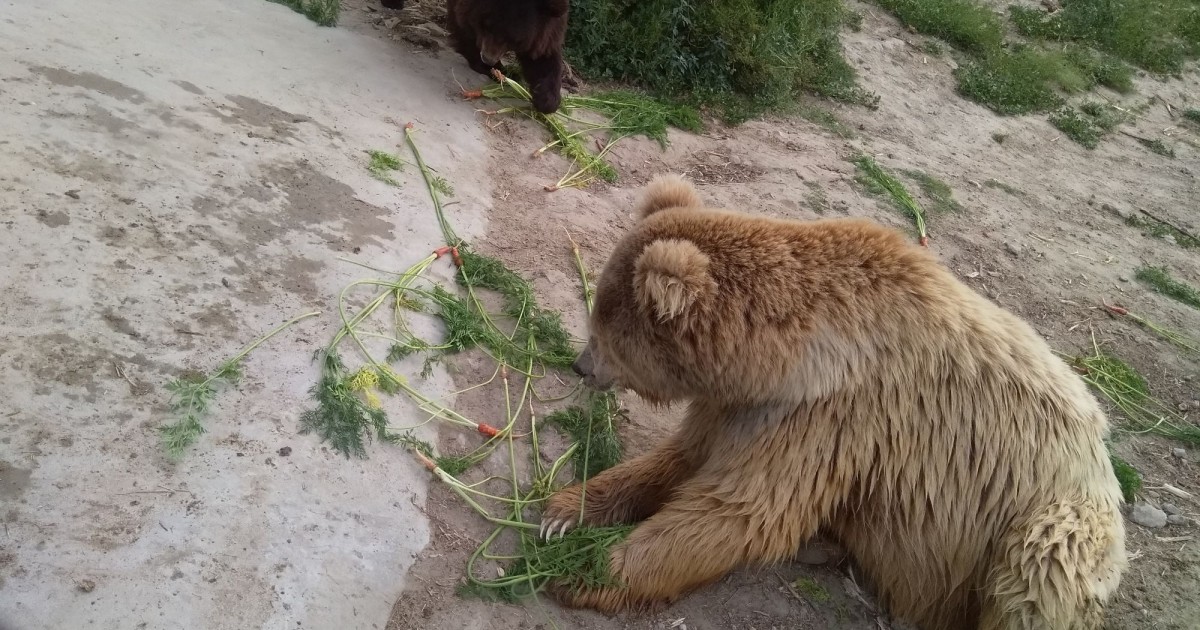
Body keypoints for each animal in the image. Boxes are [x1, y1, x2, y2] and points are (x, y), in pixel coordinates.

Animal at [539, 174, 1128, 630]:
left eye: (604, 335)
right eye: (595, 320)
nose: (580, 365)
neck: (779, 357)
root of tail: (1100, 446)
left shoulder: (834, 416)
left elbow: (739, 511)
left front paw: (580, 567)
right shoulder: (742, 405)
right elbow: (681, 458)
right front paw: (563, 513)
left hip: (1049, 515)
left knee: (1040, 573)